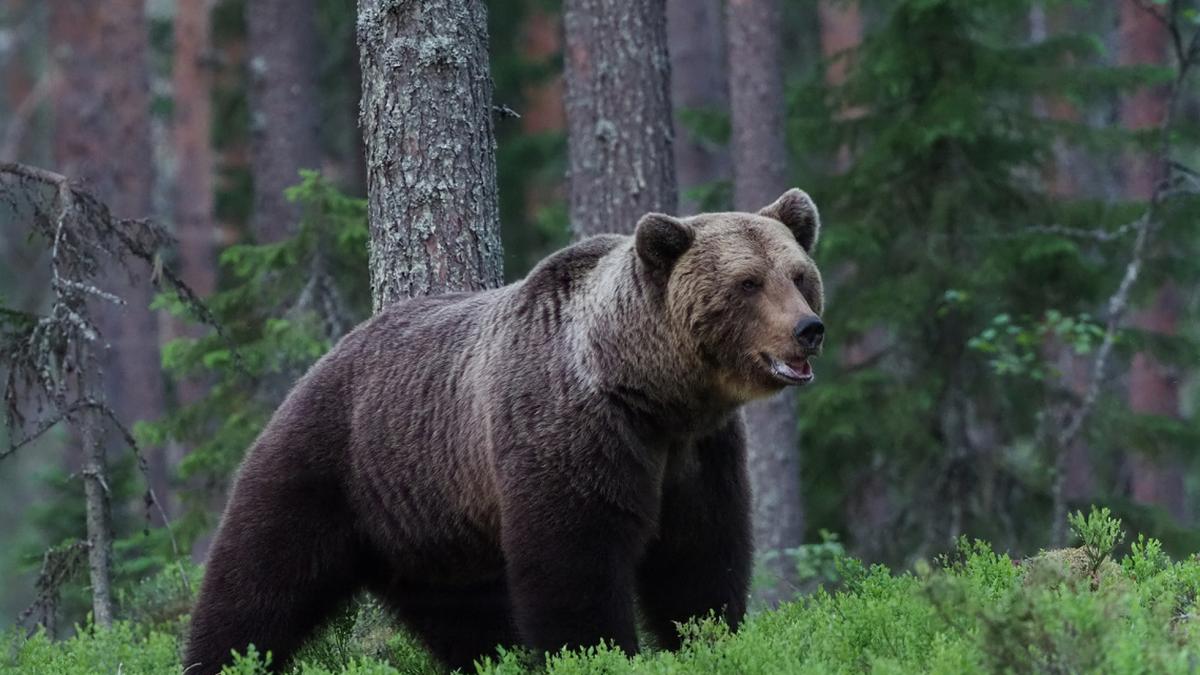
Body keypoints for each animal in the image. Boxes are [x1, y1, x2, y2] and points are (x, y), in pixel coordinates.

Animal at [183, 188, 827, 674]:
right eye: (747, 283)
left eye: (798, 275)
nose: (809, 329)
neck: (653, 392)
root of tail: (324, 358)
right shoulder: (572, 431)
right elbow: (575, 564)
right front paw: (600, 652)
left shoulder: (697, 454)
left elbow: (699, 559)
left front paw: (707, 637)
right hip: (328, 464)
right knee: (257, 582)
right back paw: (219, 657)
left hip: (430, 526)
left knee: (468, 620)